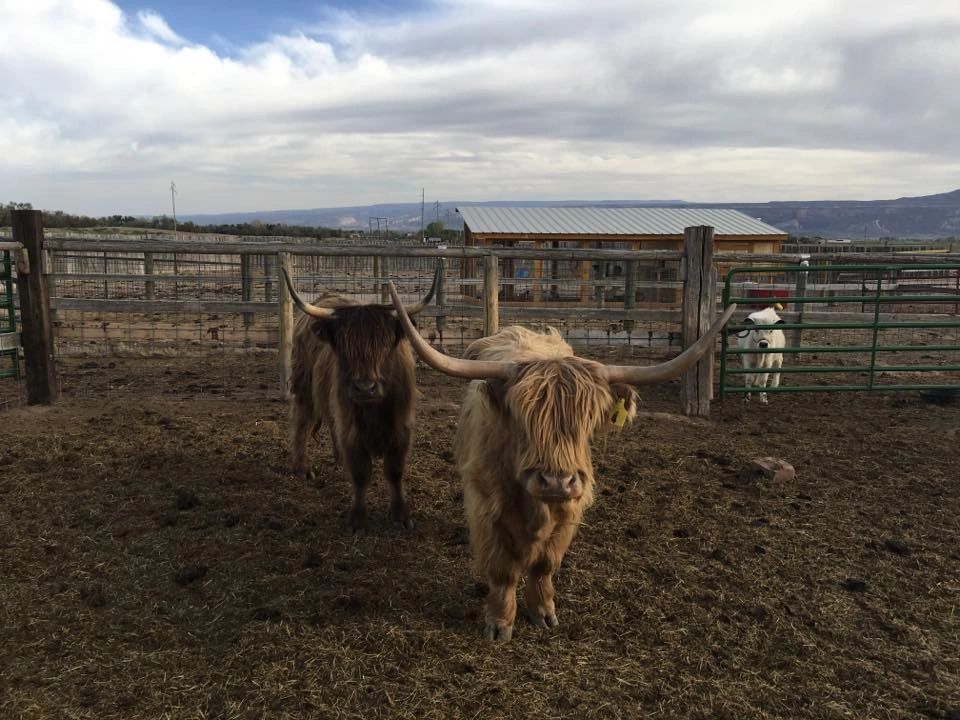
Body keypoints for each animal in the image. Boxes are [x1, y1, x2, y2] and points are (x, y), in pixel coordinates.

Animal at [282, 265, 440, 533]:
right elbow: (360, 473)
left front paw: (401, 515)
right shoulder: (352, 428)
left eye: (385, 346)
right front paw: (357, 520)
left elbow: (394, 471)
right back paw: (302, 468)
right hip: (304, 388)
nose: (365, 388)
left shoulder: (401, 427)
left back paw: (336, 460)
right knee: (302, 423)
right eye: (344, 347)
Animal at [388, 281, 735, 641]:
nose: (557, 482)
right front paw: (500, 623)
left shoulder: (571, 507)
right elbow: (502, 571)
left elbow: (544, 566)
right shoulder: (487, 505)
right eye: (522, 419)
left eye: (588, 421)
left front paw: (543, 613)